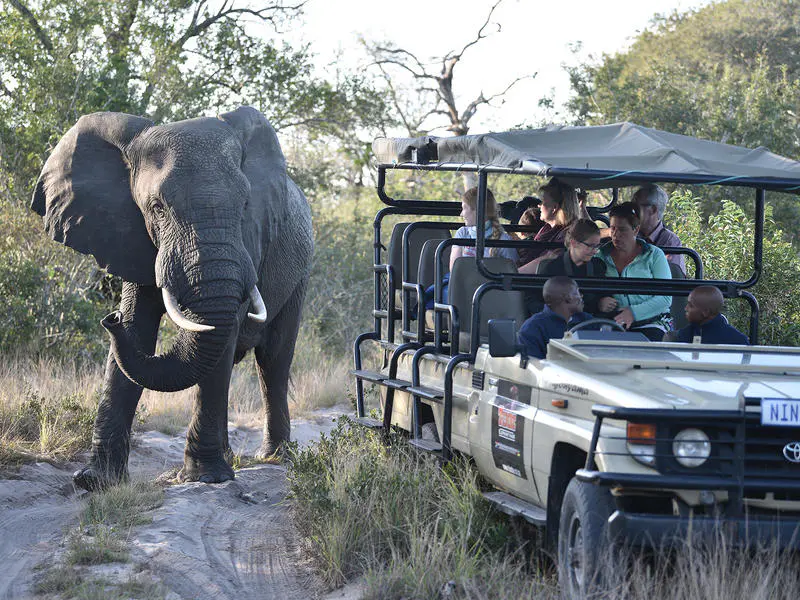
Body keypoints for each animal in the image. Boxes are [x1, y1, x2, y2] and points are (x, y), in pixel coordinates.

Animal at [31, 106, 313, 490]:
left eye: (244, 205)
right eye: (157, 208)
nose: (109, 319)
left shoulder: (249, 241)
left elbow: (222, 332)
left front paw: (206, 478)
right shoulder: (131, 234)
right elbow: (138, 329)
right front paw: (94, 482)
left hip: (301, 271)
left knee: (273, 359)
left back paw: (274, 457)